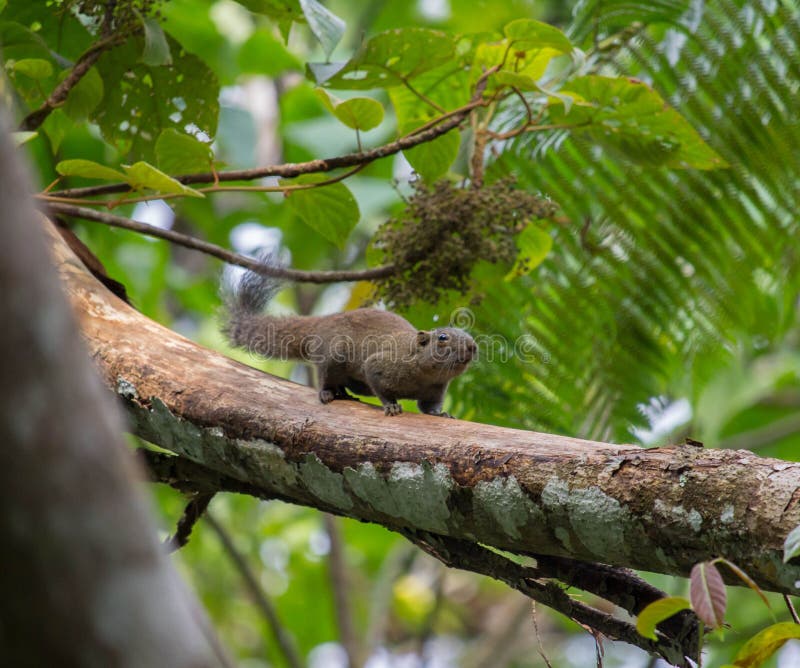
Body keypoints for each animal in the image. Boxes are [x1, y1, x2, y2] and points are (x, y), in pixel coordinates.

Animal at [221, 262, 477, 417]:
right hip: (334, 355)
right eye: (442, 337)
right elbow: (381, 387)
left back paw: (343, 393)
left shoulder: (435, 391)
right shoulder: (380, 365)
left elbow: (428, 408)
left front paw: (442, 413)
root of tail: (321, 323)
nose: (473, 347)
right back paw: (327, 393)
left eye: (470, 336)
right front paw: (392, 406)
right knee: (324, 376)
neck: (423, 372)